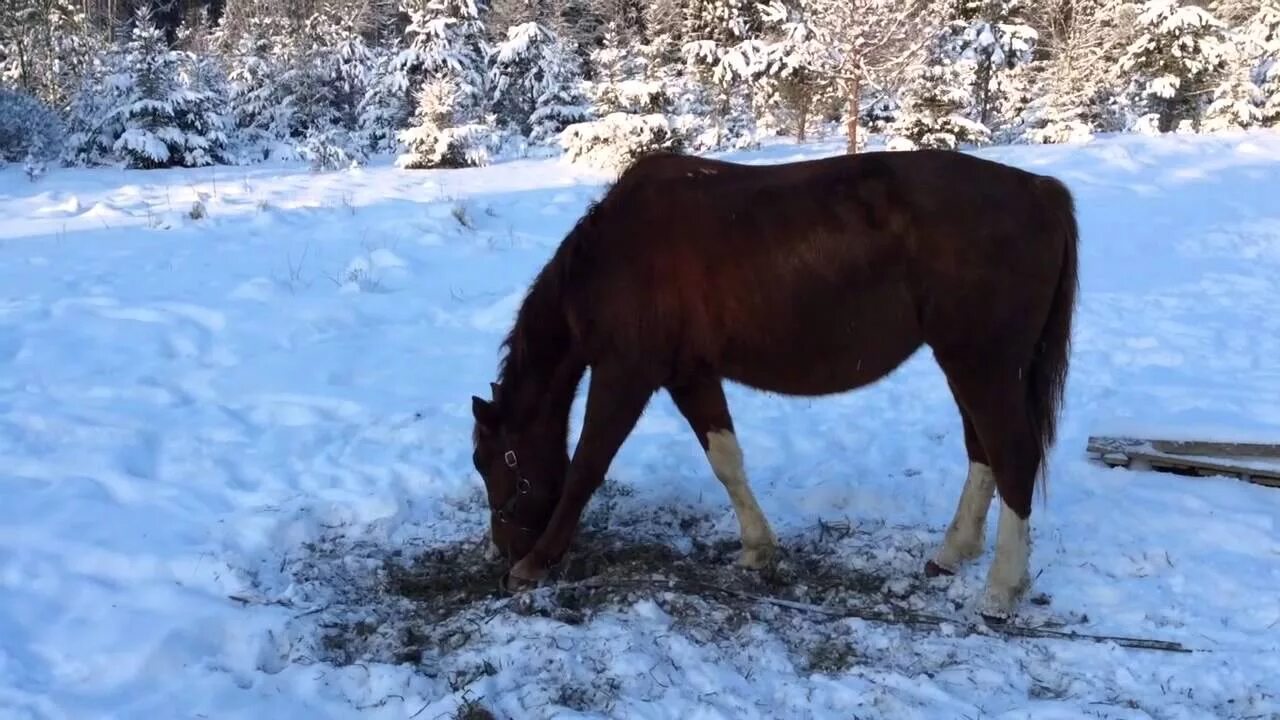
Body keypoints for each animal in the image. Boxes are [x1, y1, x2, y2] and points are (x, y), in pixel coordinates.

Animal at [465, 147, 1075, 617]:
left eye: (492, 462)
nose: (503, 550)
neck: (613, 256)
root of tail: (1041, 191)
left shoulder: (625, 375)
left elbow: (586, 468)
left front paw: (536, 563)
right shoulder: (691, 377)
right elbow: (725, 460)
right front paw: (758, 549)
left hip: (983, 364)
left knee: (1012, 456)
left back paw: (1001, 589)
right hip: (971, 366)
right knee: (984, 453)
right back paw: (952, 554)